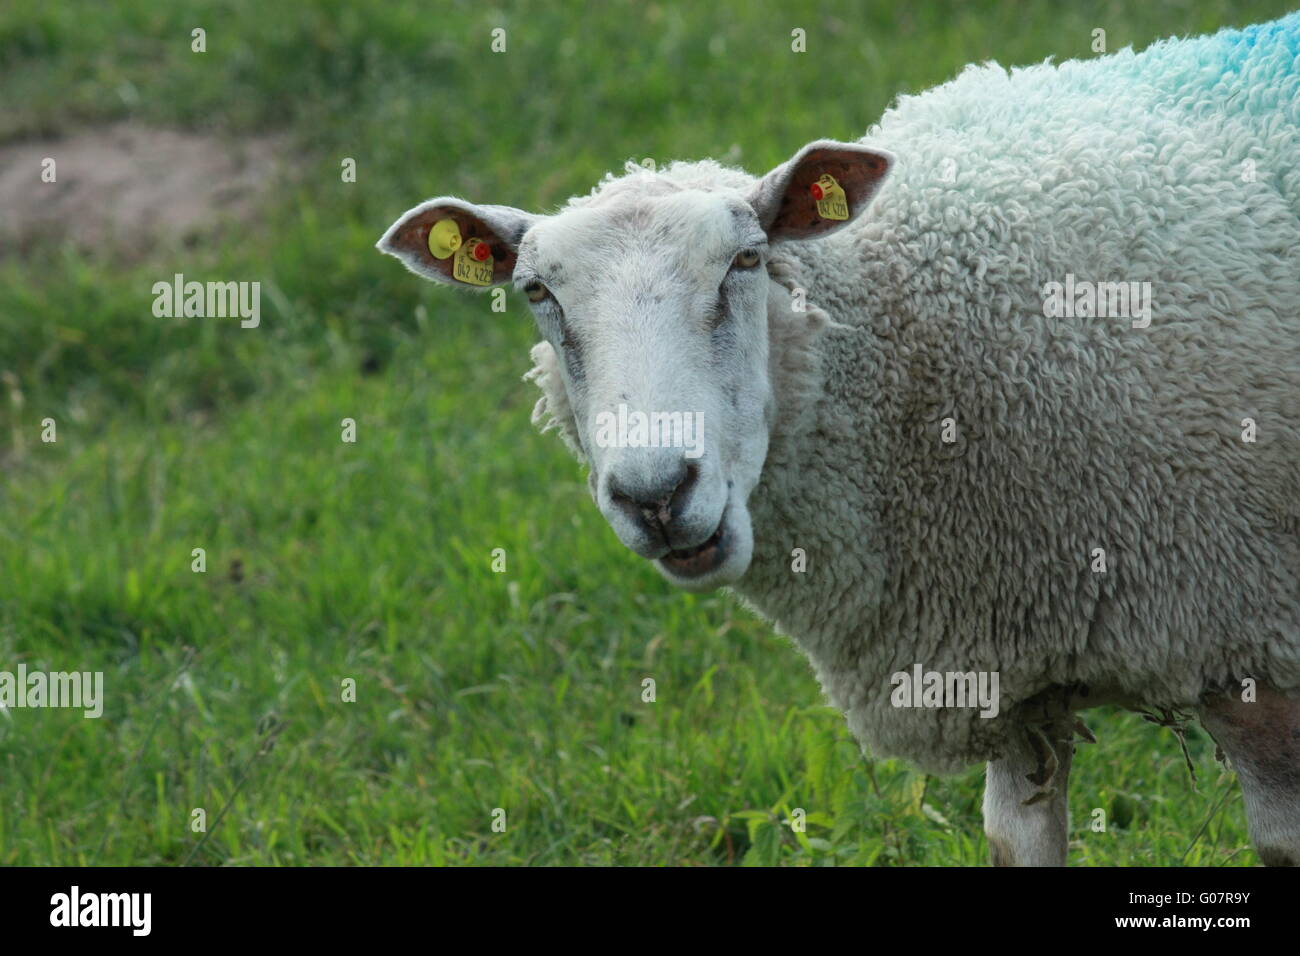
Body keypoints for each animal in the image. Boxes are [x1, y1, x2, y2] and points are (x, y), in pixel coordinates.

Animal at [379, 13, 1300, 866]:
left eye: (746, 262)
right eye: (537, 293)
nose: (655, 494)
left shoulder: (1253, 649)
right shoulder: (1007, 677)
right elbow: (1017, 841)